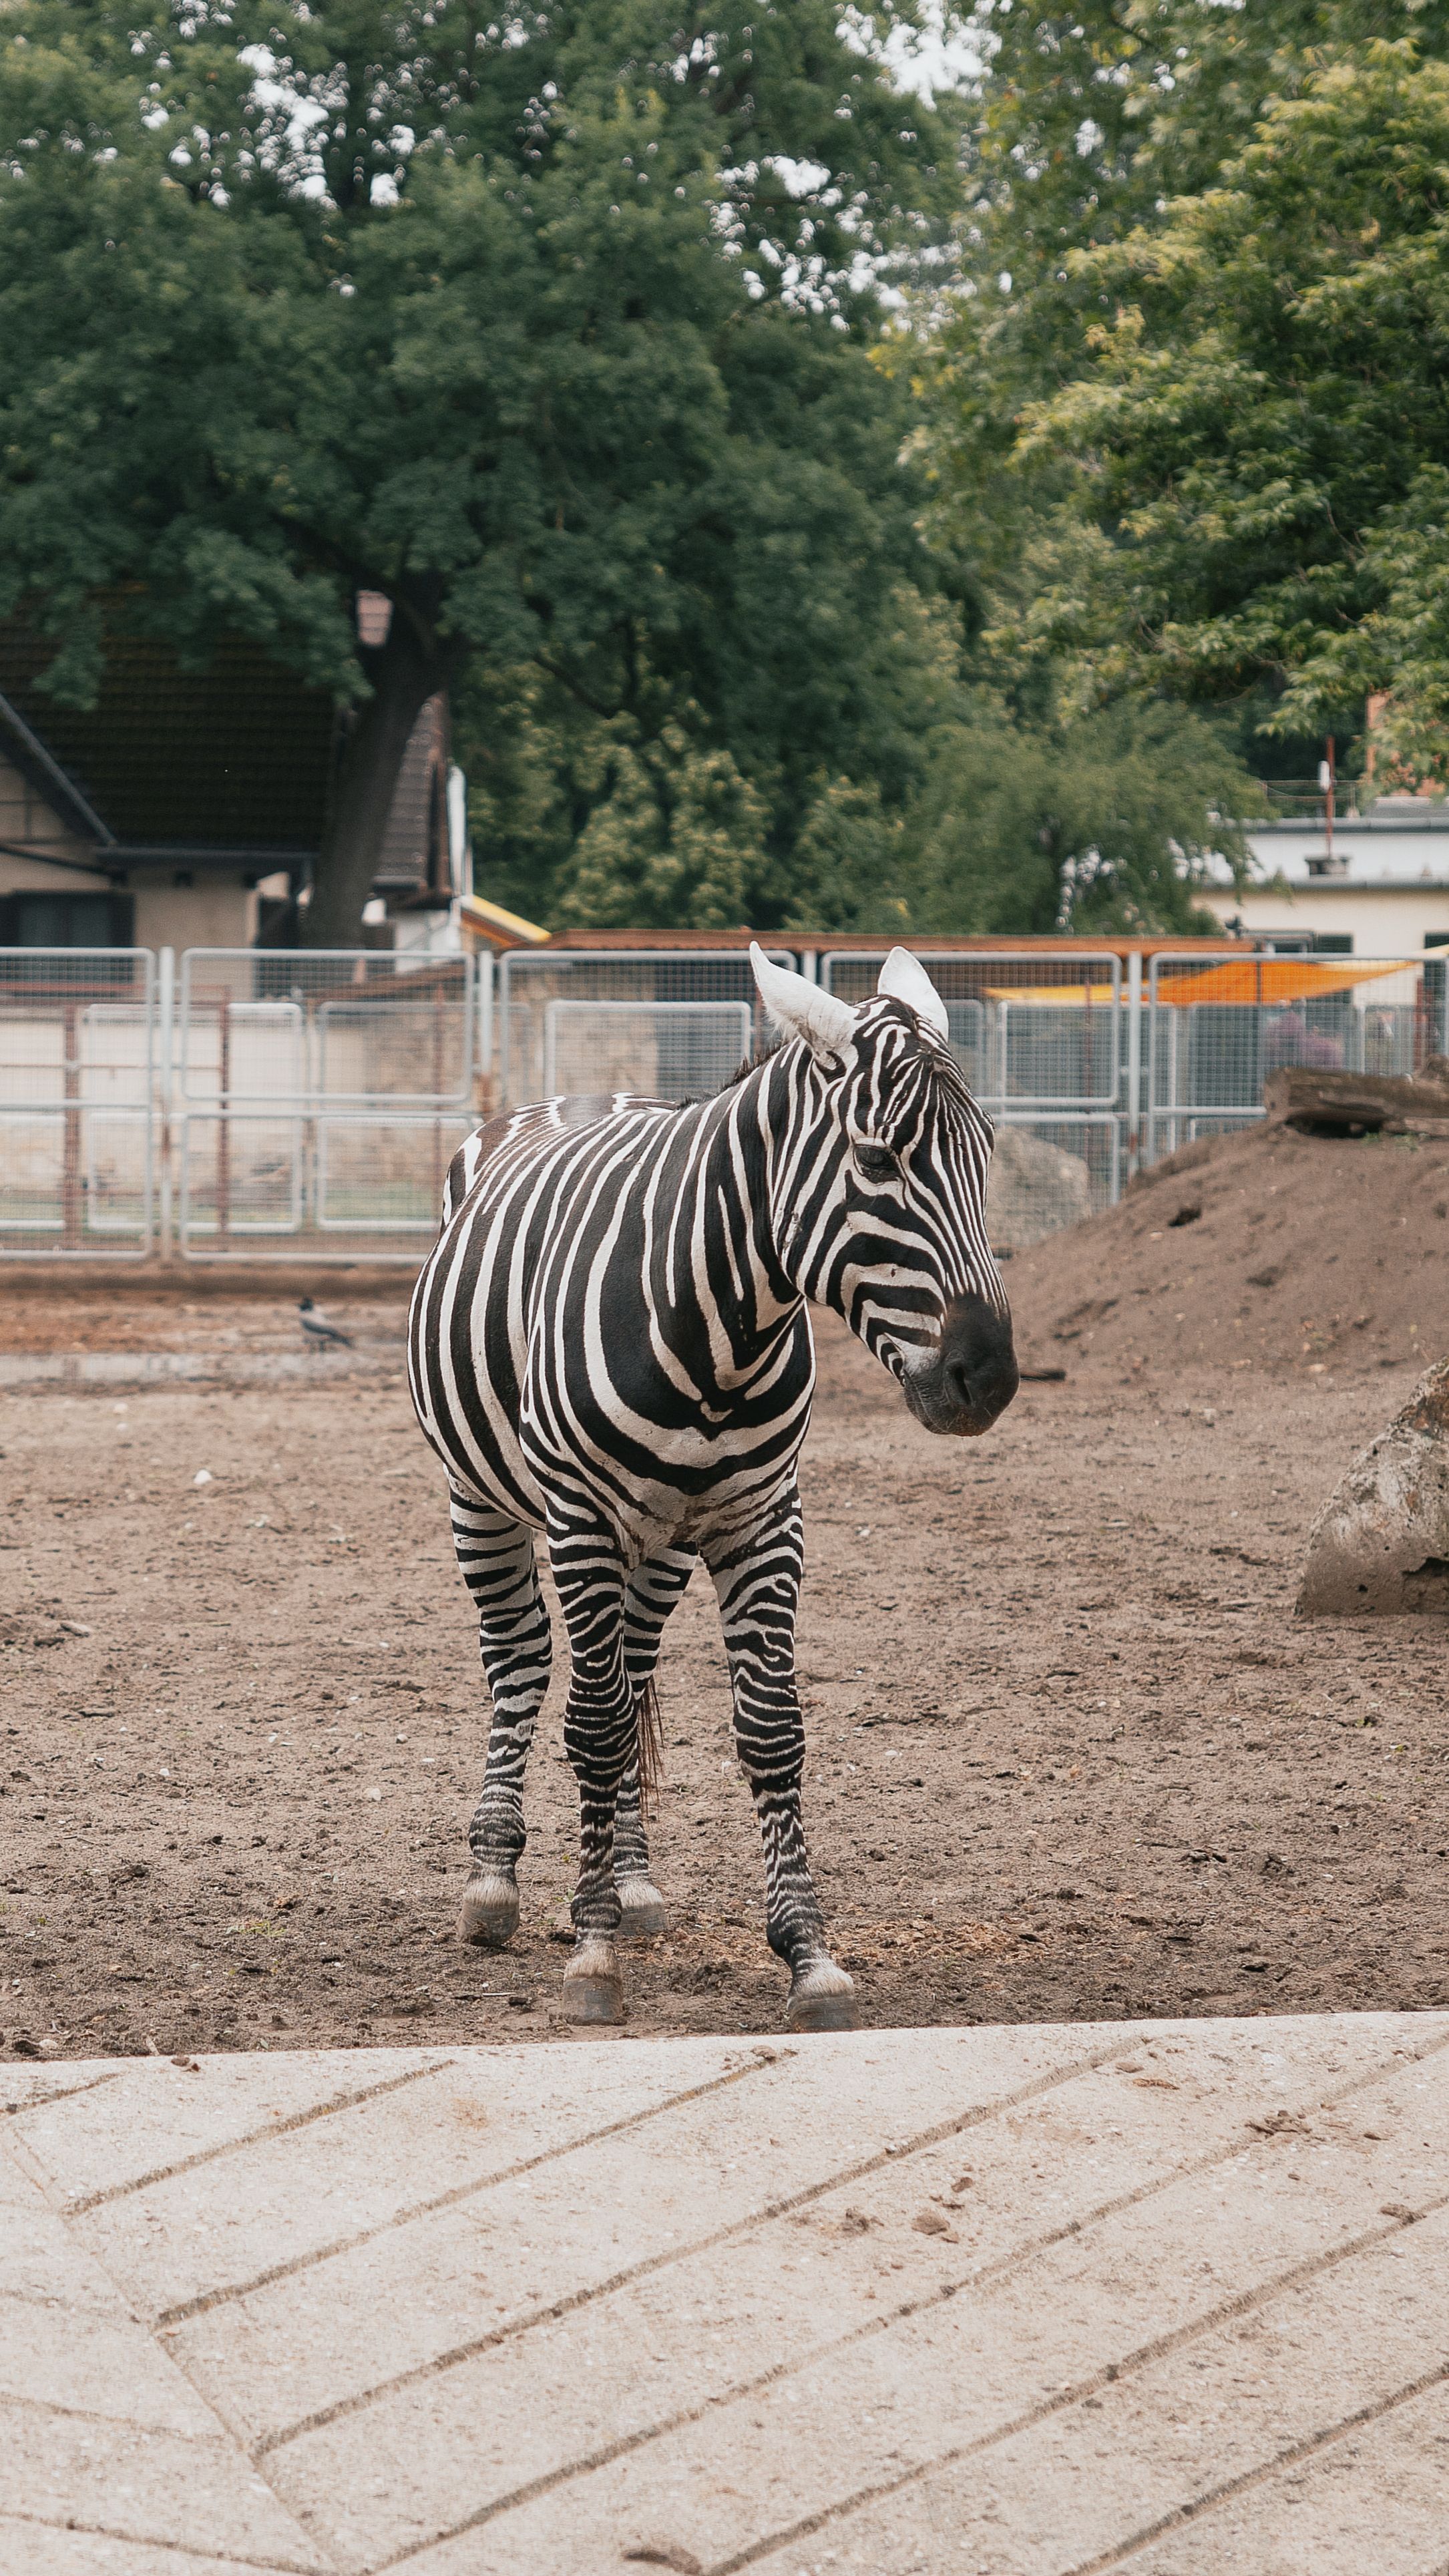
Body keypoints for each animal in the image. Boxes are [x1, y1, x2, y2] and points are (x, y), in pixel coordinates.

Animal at [408, 944, 1017, 2031]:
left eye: (981, 1158)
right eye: (877, 1161)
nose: (986, 1376)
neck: (721, 1335)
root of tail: (582, 1095)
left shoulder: (764, 1521)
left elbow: (768, 1732)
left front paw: (807, 1956)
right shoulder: (580, 1519)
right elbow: (595, 1728)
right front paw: (592, 1952)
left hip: (663, 1539)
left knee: (634, 1667)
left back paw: (633, 1880)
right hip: (481, 1501)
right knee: (522, 1662)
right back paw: (495, 1879)